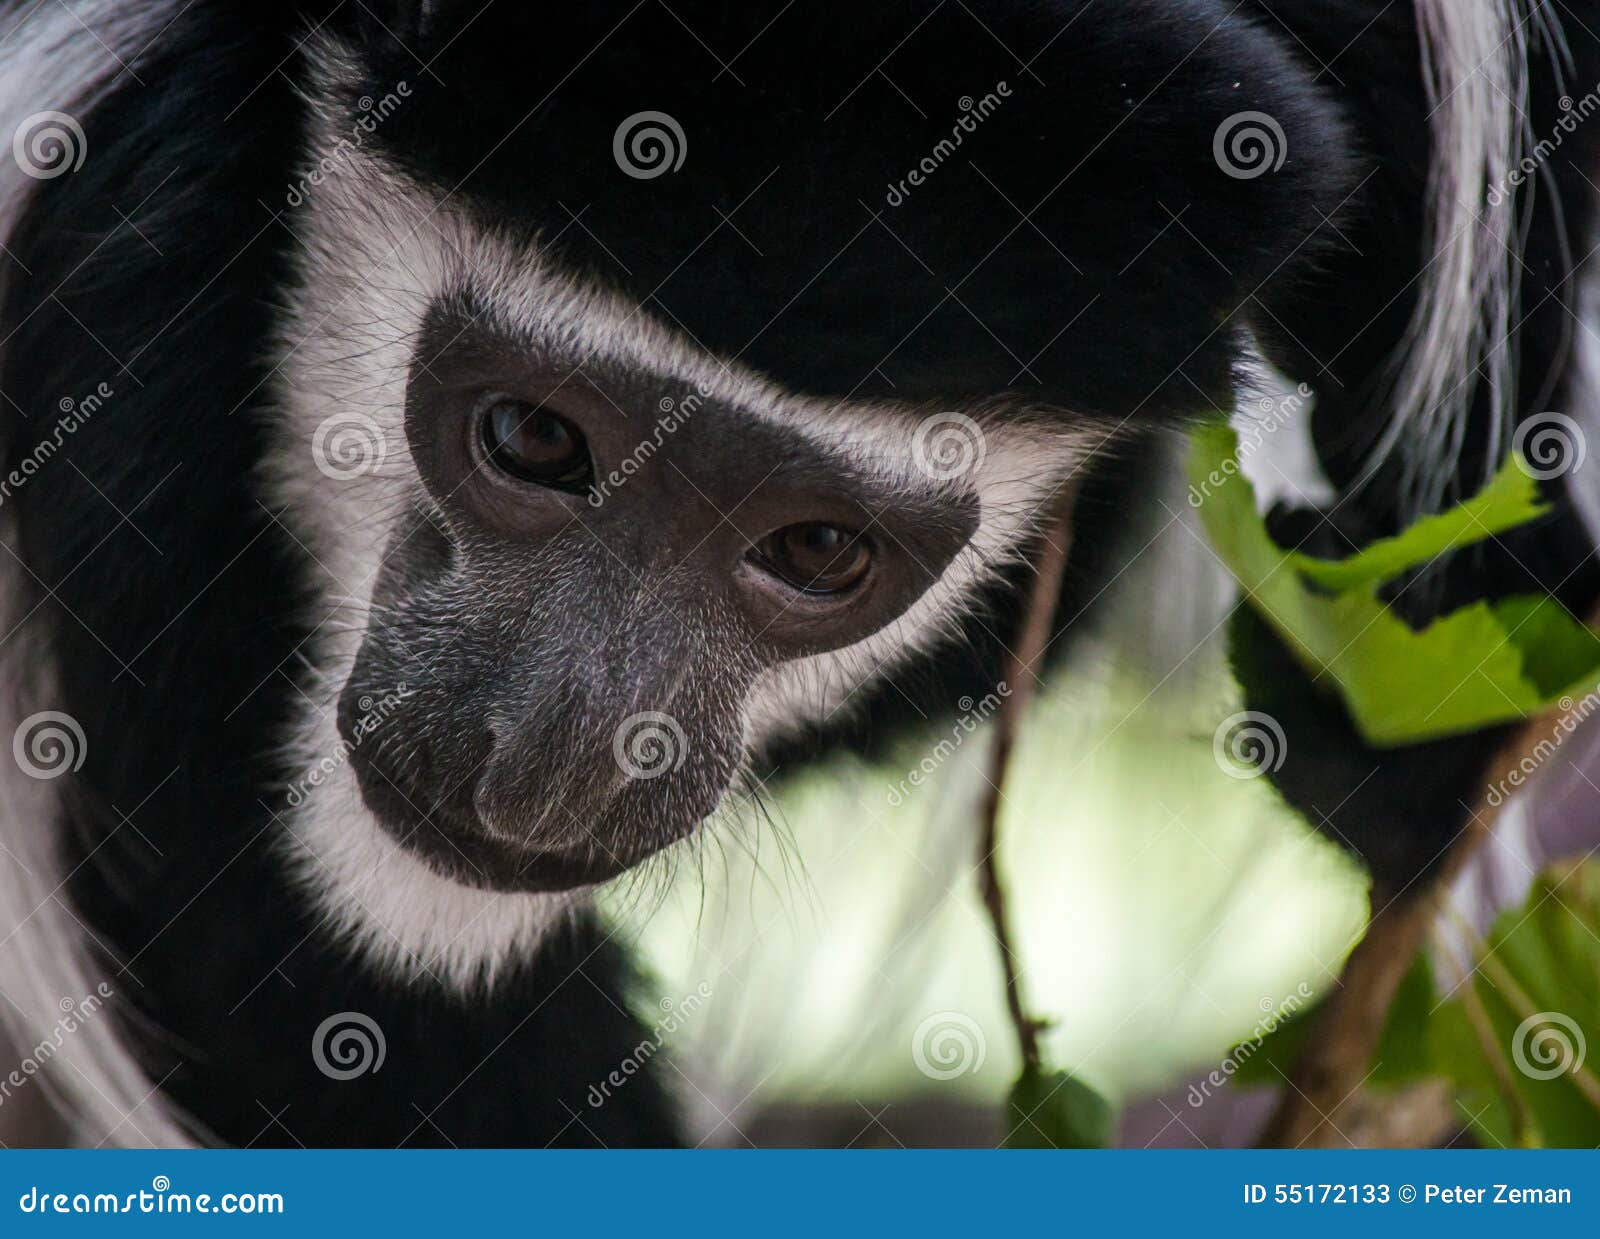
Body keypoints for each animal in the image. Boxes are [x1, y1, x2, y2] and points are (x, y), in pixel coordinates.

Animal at [0, 0, 1596, 1147]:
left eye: (818, 547)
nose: (552, 753)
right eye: (532, 438)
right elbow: (252, 932)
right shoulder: (121, 284)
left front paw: (1398, 727)